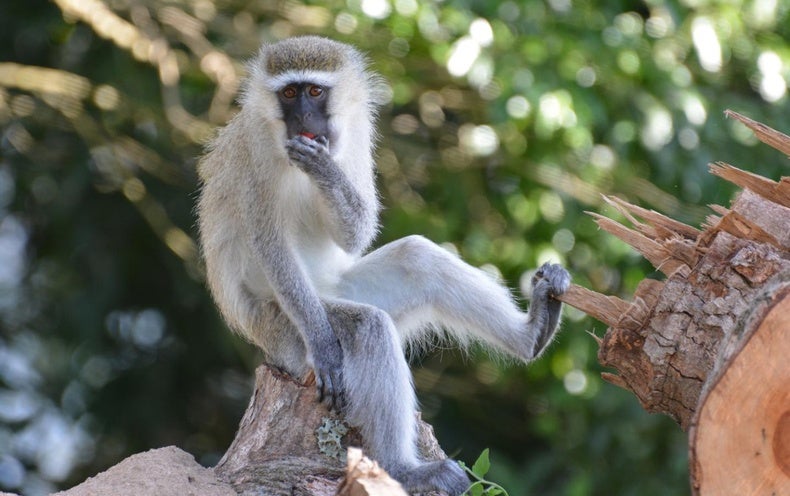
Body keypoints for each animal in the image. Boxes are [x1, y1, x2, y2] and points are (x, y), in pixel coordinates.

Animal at [197, 36, 570, 496]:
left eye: (314, 92)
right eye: (289, 94)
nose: (303, 118)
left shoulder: (357, 132)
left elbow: (355, 235)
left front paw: (324, 168)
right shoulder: (255, 154)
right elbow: (271, 248)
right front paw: (325, 346)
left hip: (340, 290)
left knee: (418, 259)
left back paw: (533, 332)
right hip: (283, 331)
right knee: (368, 326)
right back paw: (402, 467)